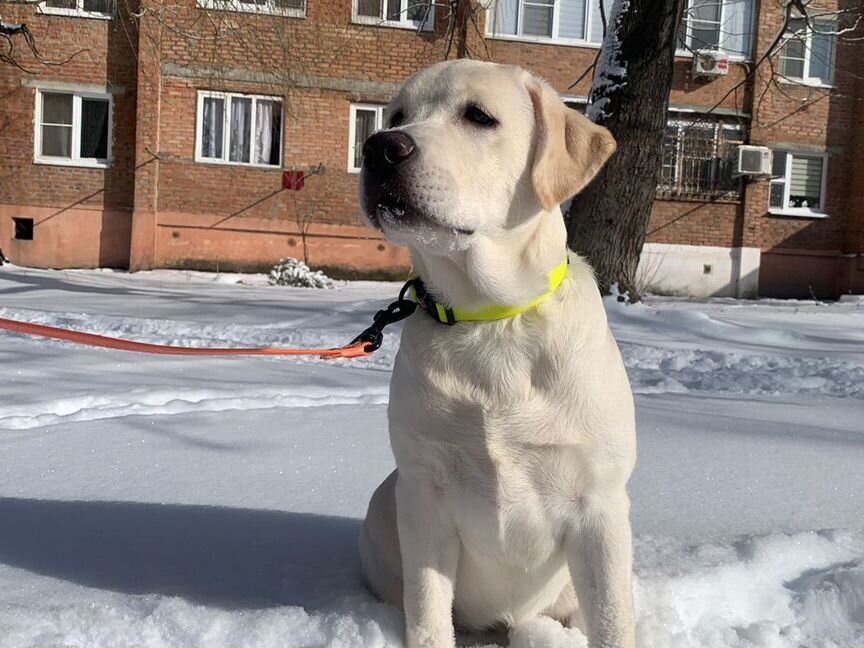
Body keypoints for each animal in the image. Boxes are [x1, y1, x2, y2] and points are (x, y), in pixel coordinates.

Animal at [356, 60, 636, 648]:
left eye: (479, 116)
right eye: (396, 115)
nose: (380, 147)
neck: (491, 320)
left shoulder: (598, 502)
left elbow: (613, 620)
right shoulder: (424, 493)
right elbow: (428, 612)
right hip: (385, 507)